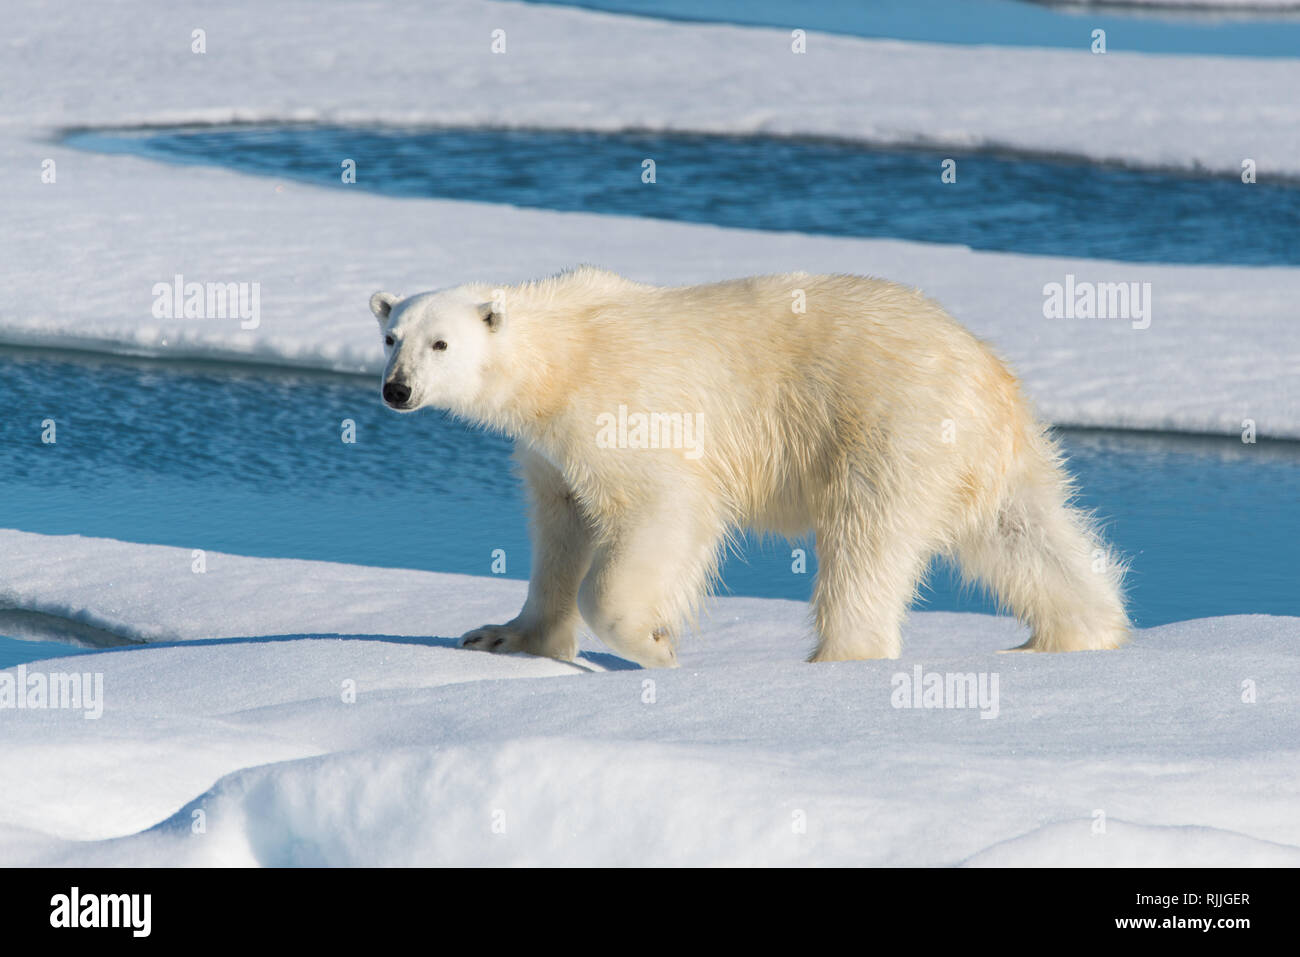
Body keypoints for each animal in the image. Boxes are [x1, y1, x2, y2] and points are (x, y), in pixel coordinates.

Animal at [369, 267, 1128, 668]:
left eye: (441, 343)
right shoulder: (550, 449)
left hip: (891, 424)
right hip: (988, 454)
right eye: (390, 337)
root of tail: (987, 372)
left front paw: (653, 642)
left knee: (866, 543)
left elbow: (662, 511)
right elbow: (561, 528)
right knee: (1021, 533)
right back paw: (1078, 632)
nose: (396, 390)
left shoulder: (622, 410)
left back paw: (838, 657)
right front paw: (505, 636)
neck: (560, 357)